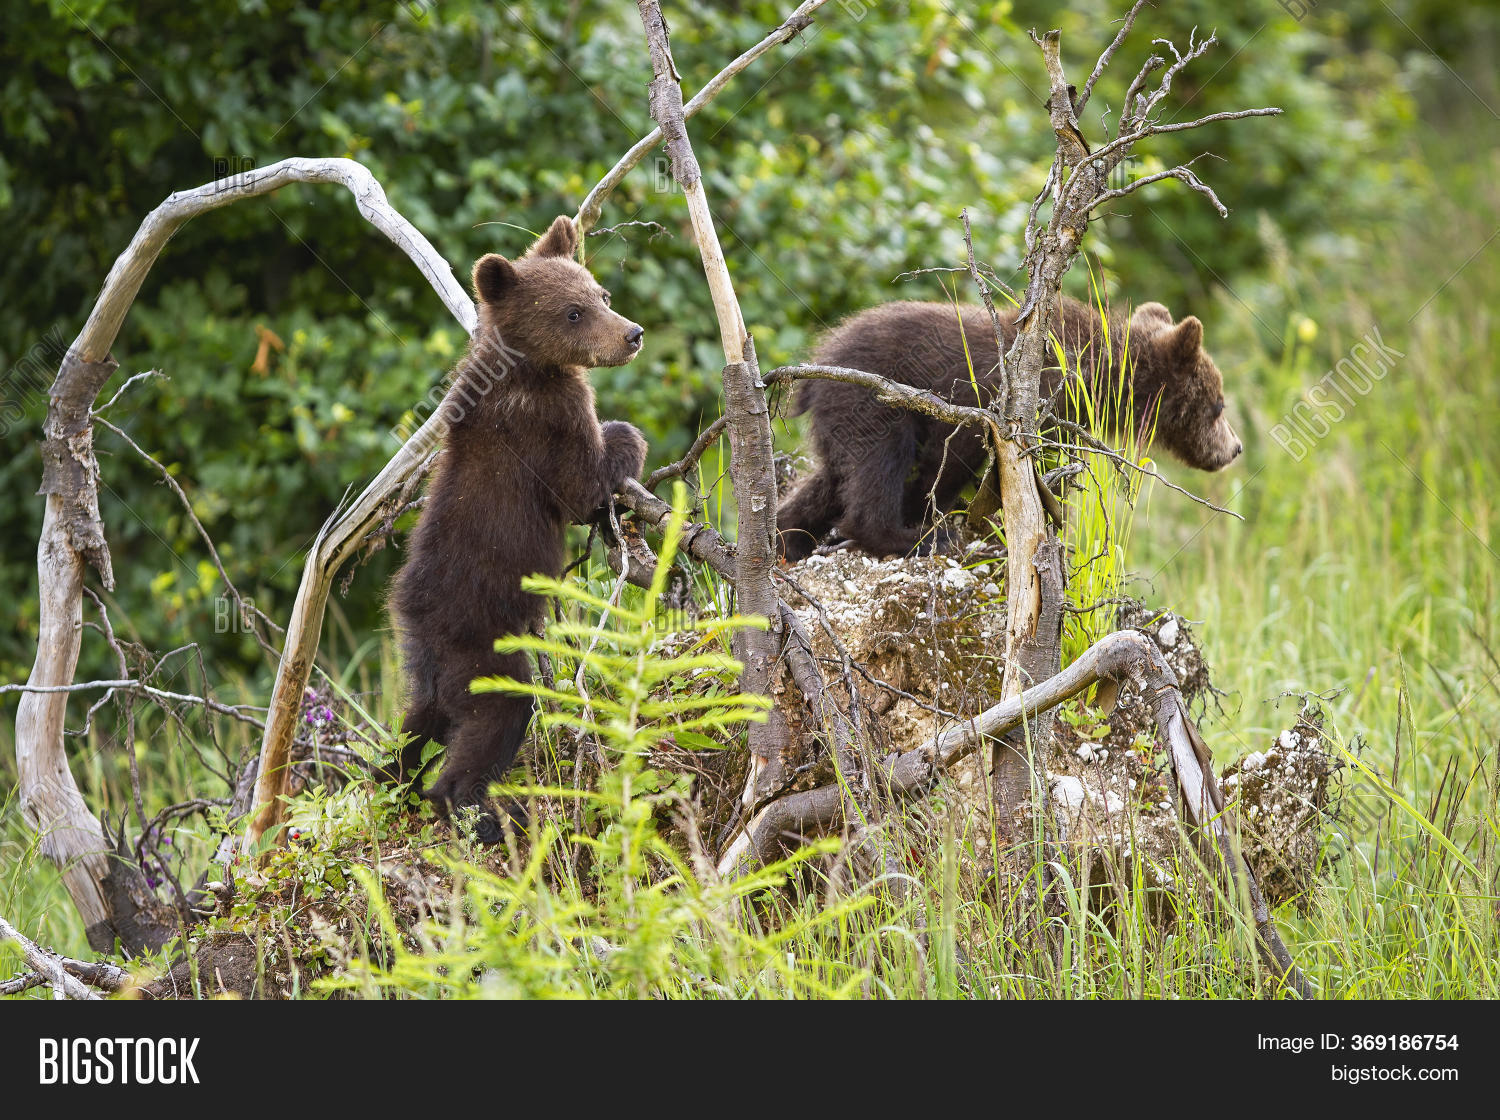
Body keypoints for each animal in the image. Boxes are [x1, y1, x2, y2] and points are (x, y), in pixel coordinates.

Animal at [385, 215, 648, 842]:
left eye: (601, 294)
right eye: (573, 312)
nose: (632, 334)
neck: (527, 366)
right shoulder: (548, 421)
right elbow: (582, 487)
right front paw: (625, 435)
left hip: (422, 665)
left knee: (415, 726)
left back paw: (396, 781)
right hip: (484, 650)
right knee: (496, 716)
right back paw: (483, 814)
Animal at [776, 296, 1241, 561]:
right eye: (1218, 405)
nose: (1234, 448)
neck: (1100, 378)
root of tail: (816, 362)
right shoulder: (1003, 400)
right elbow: (955, 458)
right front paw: (931, 516)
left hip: (841, 417)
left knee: (832, 477)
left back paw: (790, 536)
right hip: (876, 400)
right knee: (878, 462)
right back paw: (910, 538)